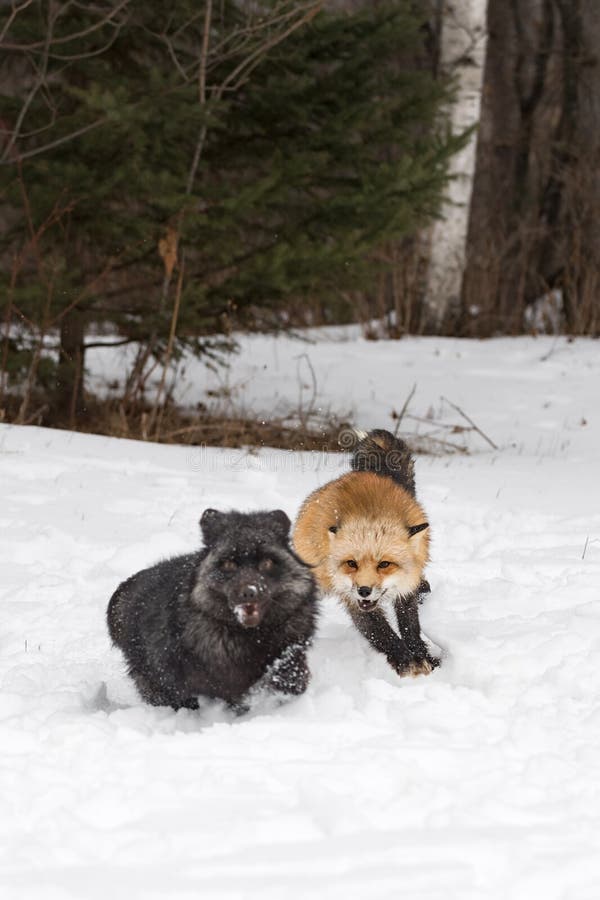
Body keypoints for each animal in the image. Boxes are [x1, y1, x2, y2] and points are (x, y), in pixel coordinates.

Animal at [293, 429, 440, 677]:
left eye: (385, 564)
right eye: (351, 563)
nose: (364, 590)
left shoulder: (405, 589)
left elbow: (410, 626)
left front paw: (422, 654)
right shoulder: (353, 600)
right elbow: (381, 633)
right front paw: (405, 660)